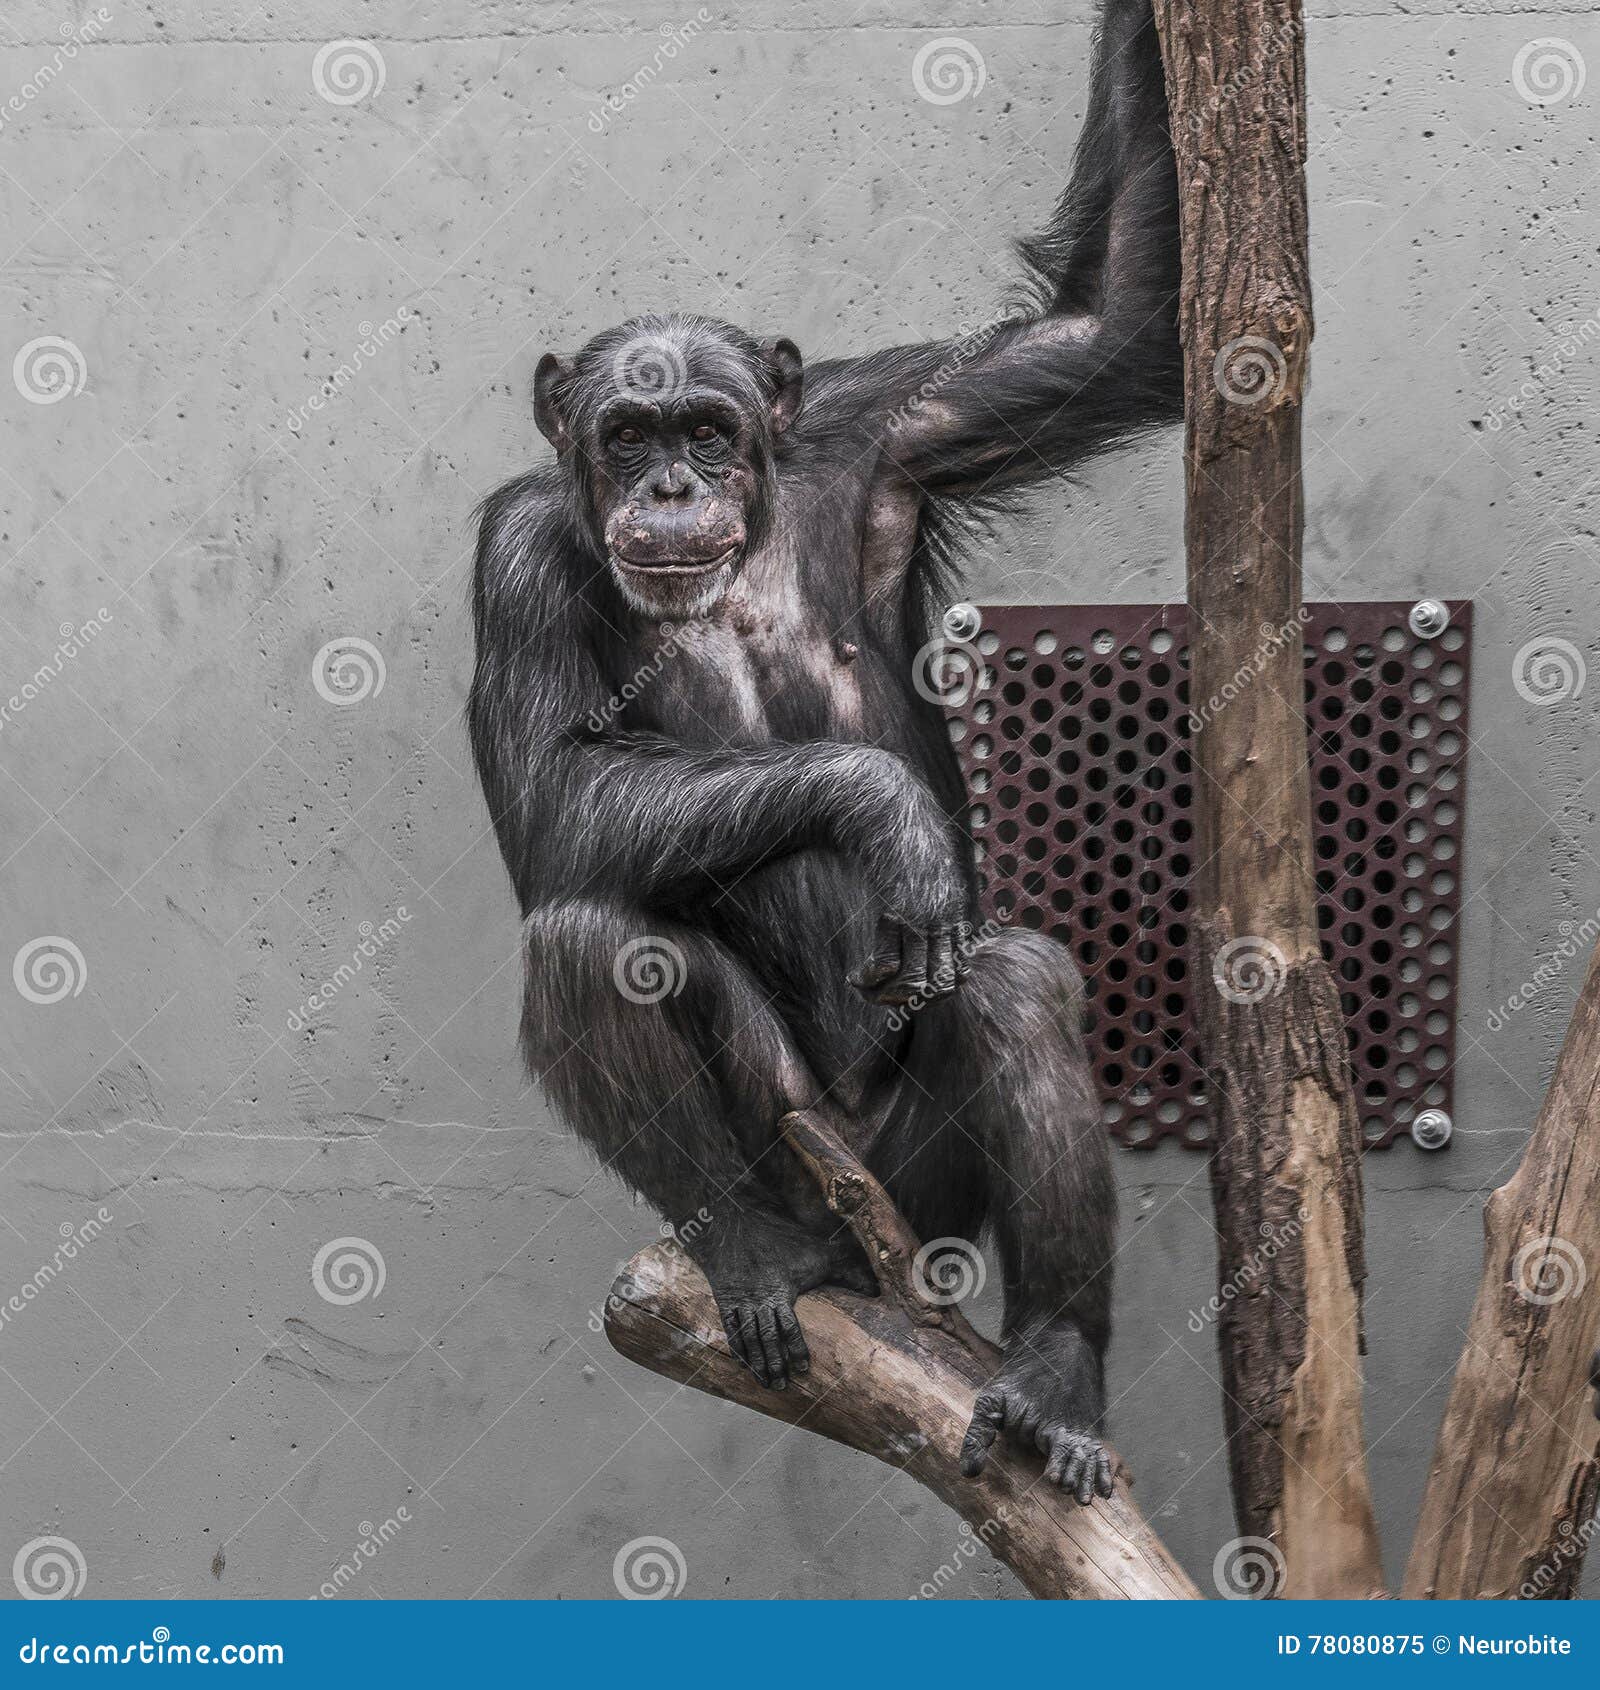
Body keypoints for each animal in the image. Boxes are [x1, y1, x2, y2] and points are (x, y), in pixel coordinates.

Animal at [468, 0, 1181, 1504]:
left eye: (706, 425)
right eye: (628, 429)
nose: (671, 482)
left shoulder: (902, 420)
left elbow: (1115, 324)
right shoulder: (511, 556)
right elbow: (557, 794)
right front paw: (884, 809)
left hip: (922, 1178)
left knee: (1017, 981)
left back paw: (1057, 1367)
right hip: (797, 1150)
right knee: (588, 938)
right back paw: (746, 1241)